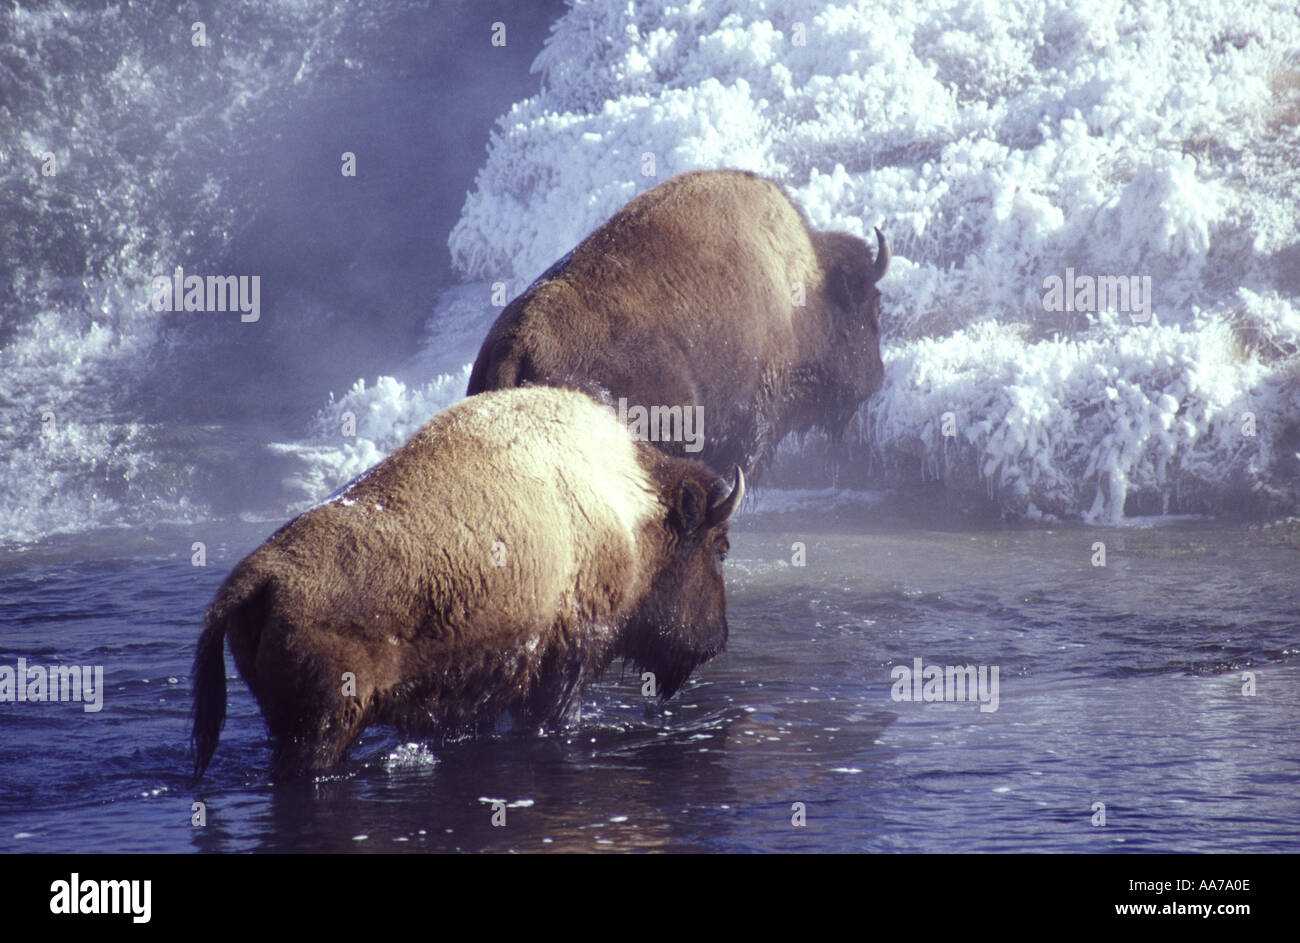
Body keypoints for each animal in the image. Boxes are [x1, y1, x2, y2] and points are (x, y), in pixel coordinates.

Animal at [191, 386, 744, 780]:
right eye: (719, 547)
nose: (718, 641)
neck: (631, 512)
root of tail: (260, 573)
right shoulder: (564, 672)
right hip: (322, 729)